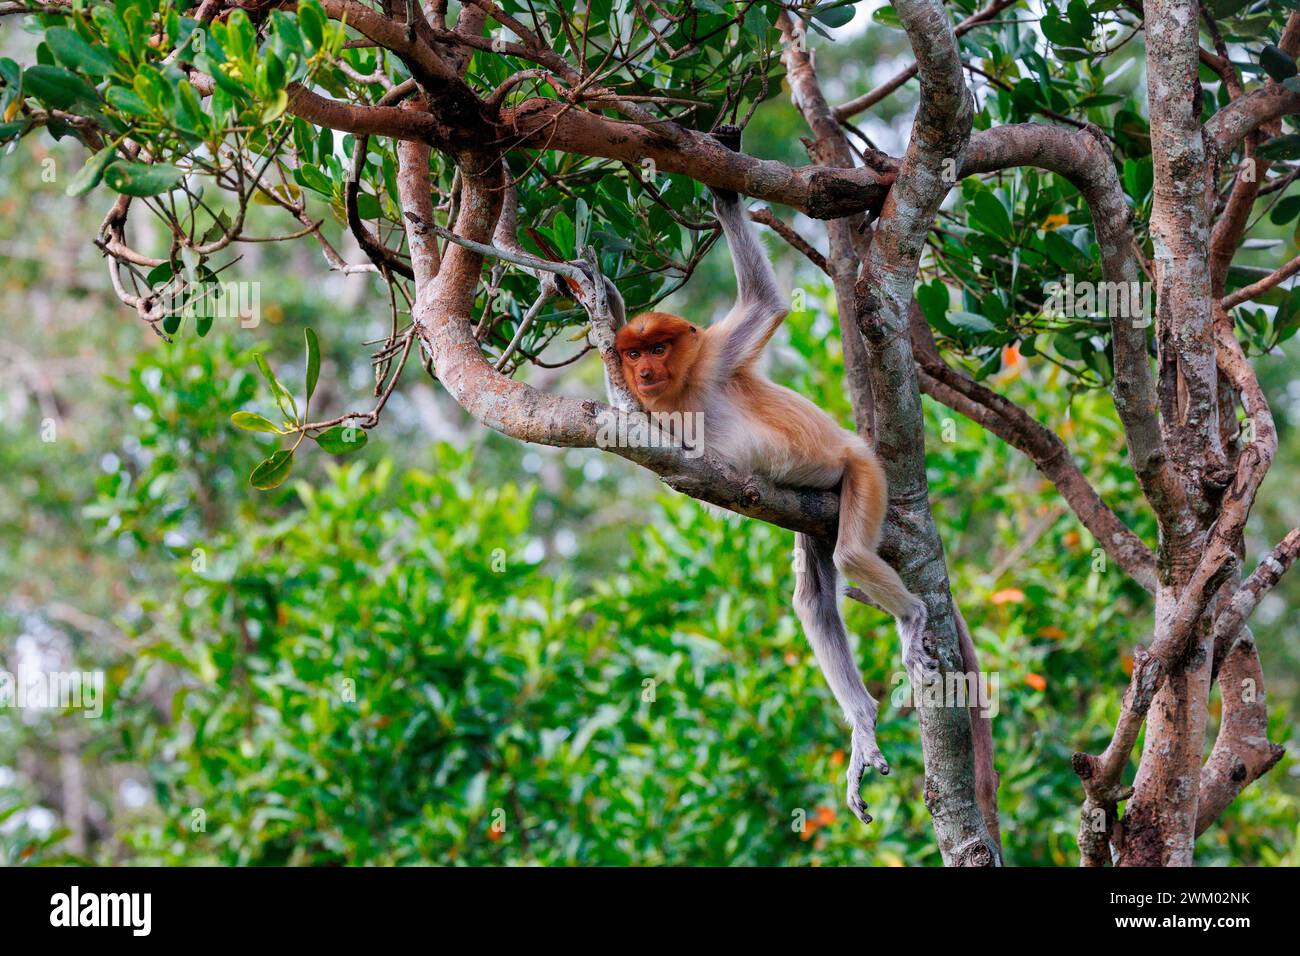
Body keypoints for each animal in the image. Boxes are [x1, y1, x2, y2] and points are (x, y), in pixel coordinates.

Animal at [603, 130, 933, 825]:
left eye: (659, 348)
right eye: (635, 351)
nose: (643, 368)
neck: (680, 391)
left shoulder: (711, 357)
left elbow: (765, 304)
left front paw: (723, 190)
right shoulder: (655, 412)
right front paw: (601, 296)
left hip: (861, 474)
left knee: (854, 553)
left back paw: (915, 617)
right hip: (816, 507)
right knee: (814, 594)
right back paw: (863, 726)